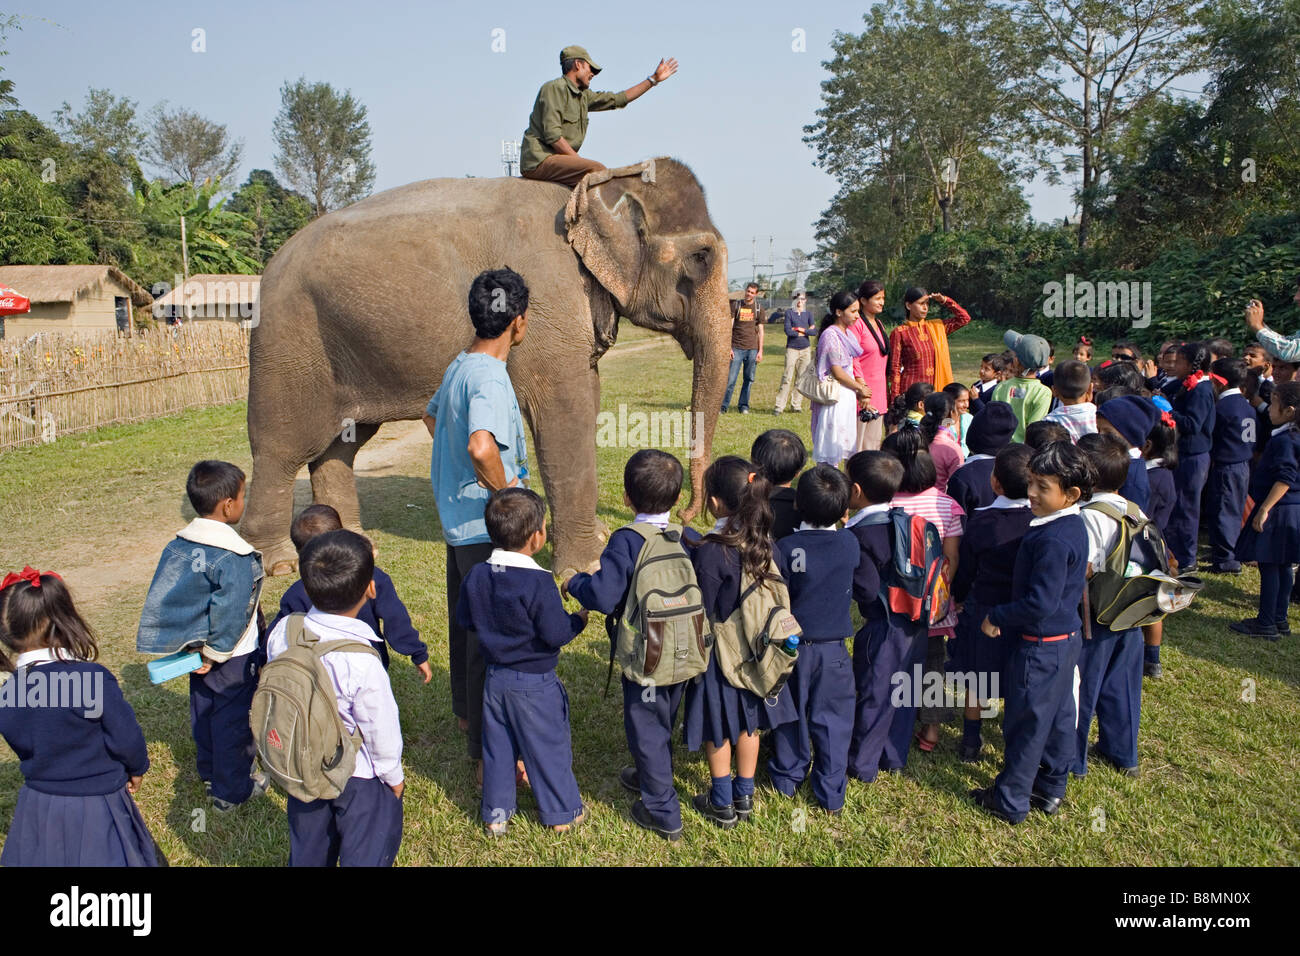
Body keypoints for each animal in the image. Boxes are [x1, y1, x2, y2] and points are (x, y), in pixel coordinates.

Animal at [242, 157, 731, 579]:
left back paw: (356, 545)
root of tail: (270, 267)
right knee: (281, 447)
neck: (598, 186)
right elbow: (564, 411)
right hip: (287, 342)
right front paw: (586, 568)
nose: (689, 514)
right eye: (702, 256)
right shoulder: (549, 296)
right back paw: (278, 564)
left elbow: (589, 398)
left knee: (342, 444)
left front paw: (597, 538)